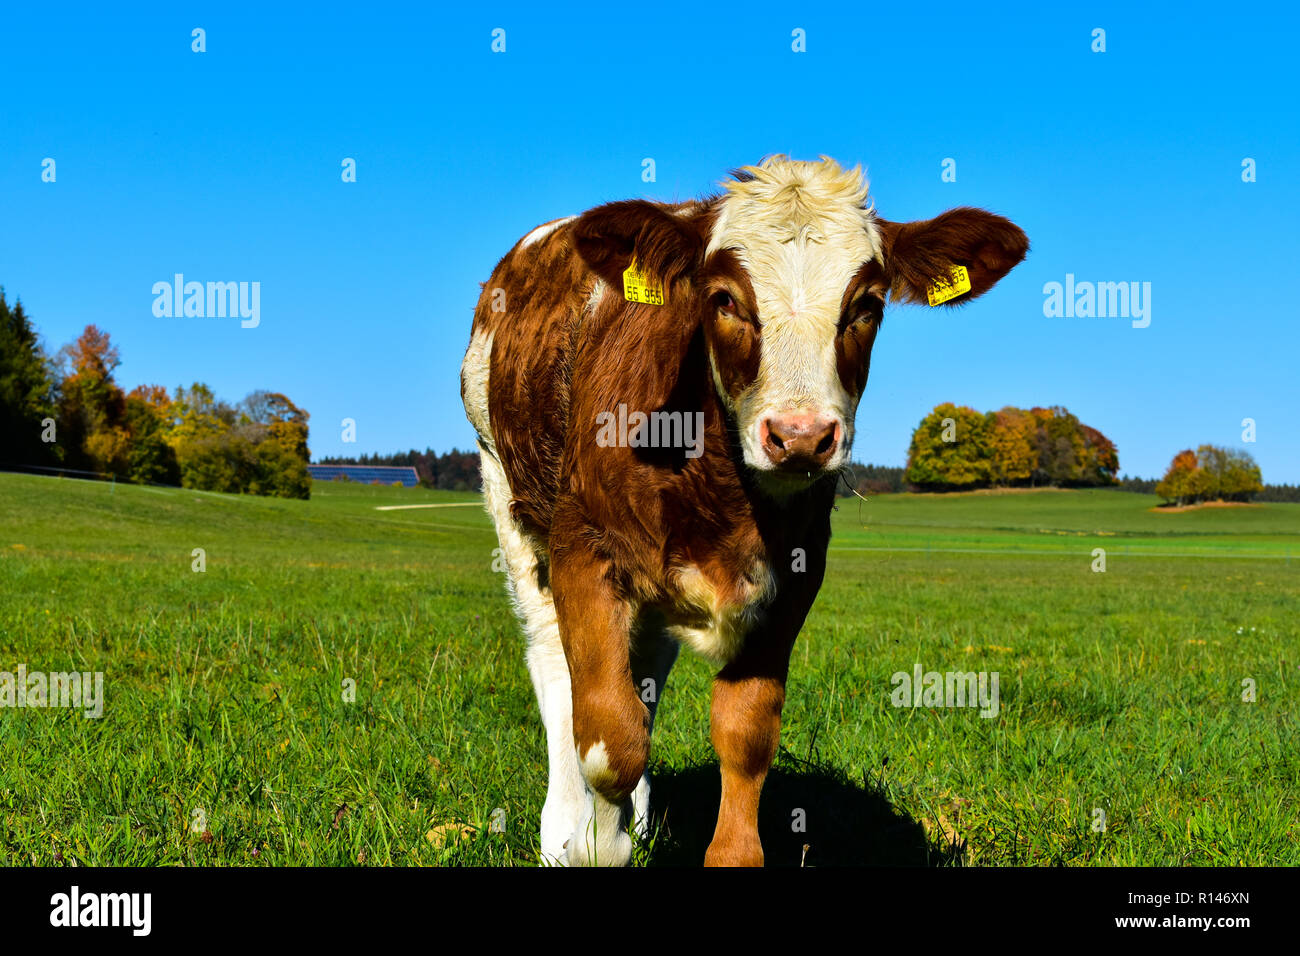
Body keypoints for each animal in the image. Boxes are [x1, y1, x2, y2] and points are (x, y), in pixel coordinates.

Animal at [460, 156, 1028, 866]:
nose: (800, 436)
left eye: (867, 306)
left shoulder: (794, 581)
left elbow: (744, 733)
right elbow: (608, 738)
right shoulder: (583, 549)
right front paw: (592, 843)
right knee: (554, 664)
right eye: (724, 299)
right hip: (508, 497)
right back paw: (564, 824)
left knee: (645, 670)